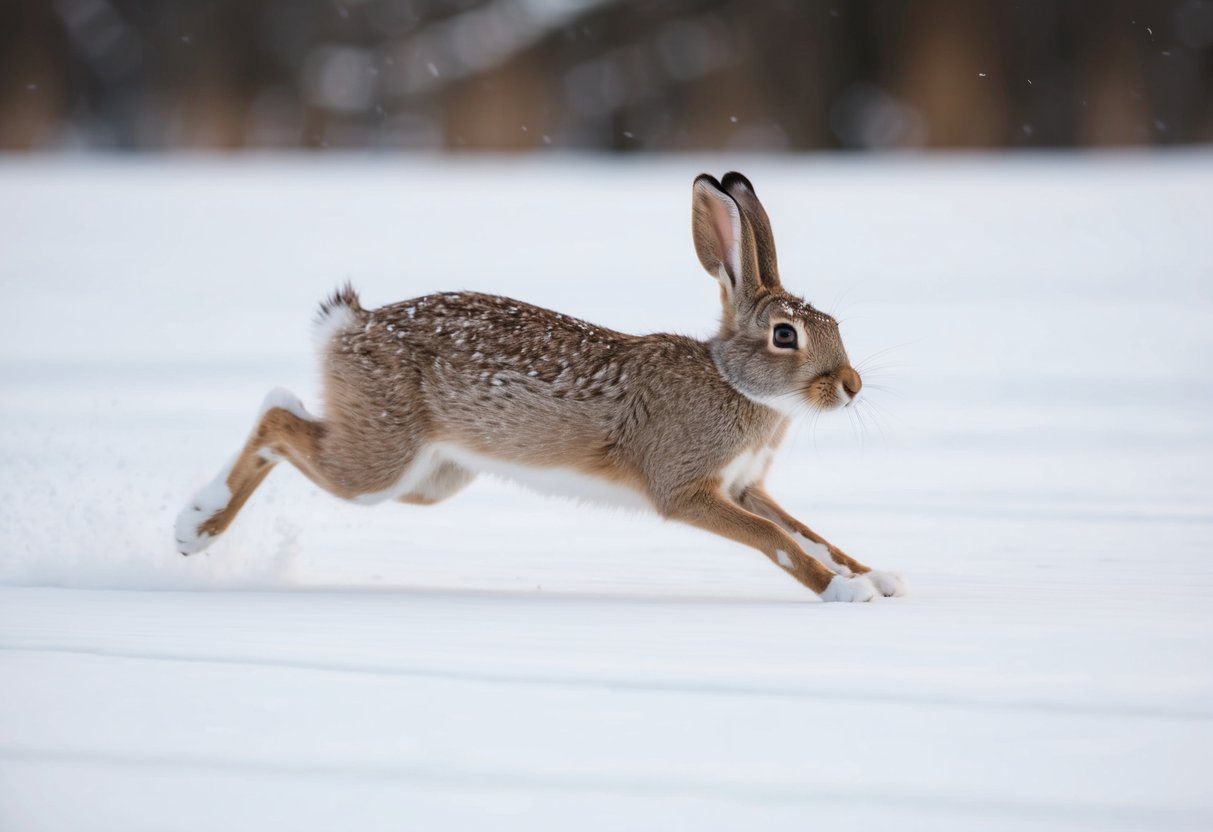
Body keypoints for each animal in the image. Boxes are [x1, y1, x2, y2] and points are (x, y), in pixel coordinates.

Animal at [175, 171, 904, 602]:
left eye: (833, 325)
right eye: (785, 335)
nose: (850, 385)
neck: (733, 382)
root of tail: (349, 326)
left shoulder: (747, 486)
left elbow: (806, 531)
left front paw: (877, 576)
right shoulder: (688, 489)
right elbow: (775, 541)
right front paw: (845, 593)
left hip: (430, 479)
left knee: (286, 410)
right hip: (380, 461)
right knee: (278, 421)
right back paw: (195, 529)